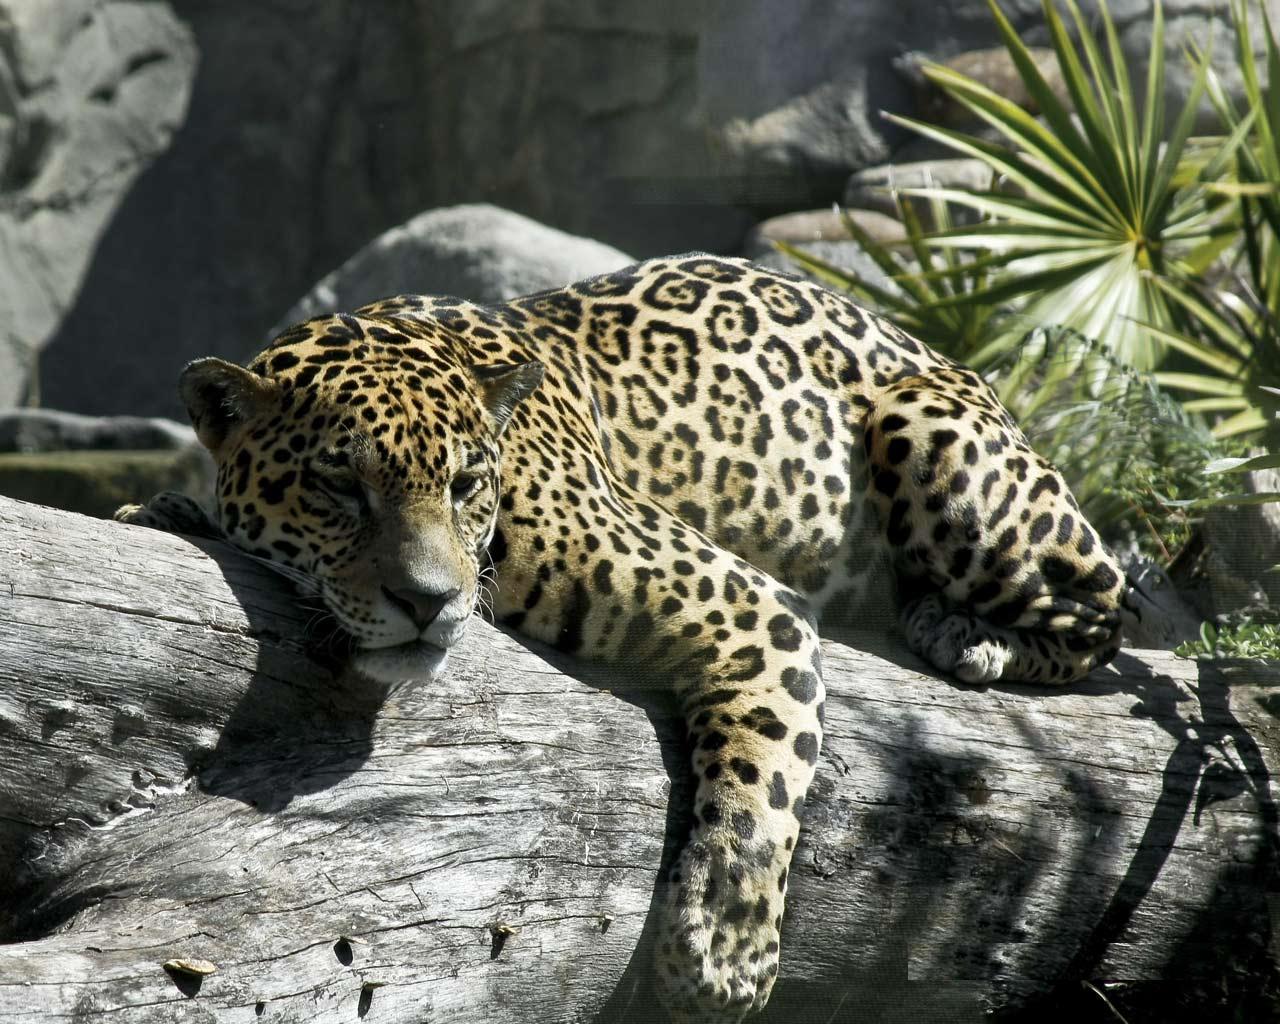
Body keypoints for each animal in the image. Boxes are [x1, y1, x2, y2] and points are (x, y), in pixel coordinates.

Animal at [116, 254, 1143, 1021]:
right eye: (336, 486)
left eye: (462, 484)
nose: (427, 601)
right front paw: (165, 512)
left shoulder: (754, 605)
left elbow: (762, 793)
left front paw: (719, 960)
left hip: (936, 443)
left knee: (1108, 614)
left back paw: (962, 631)